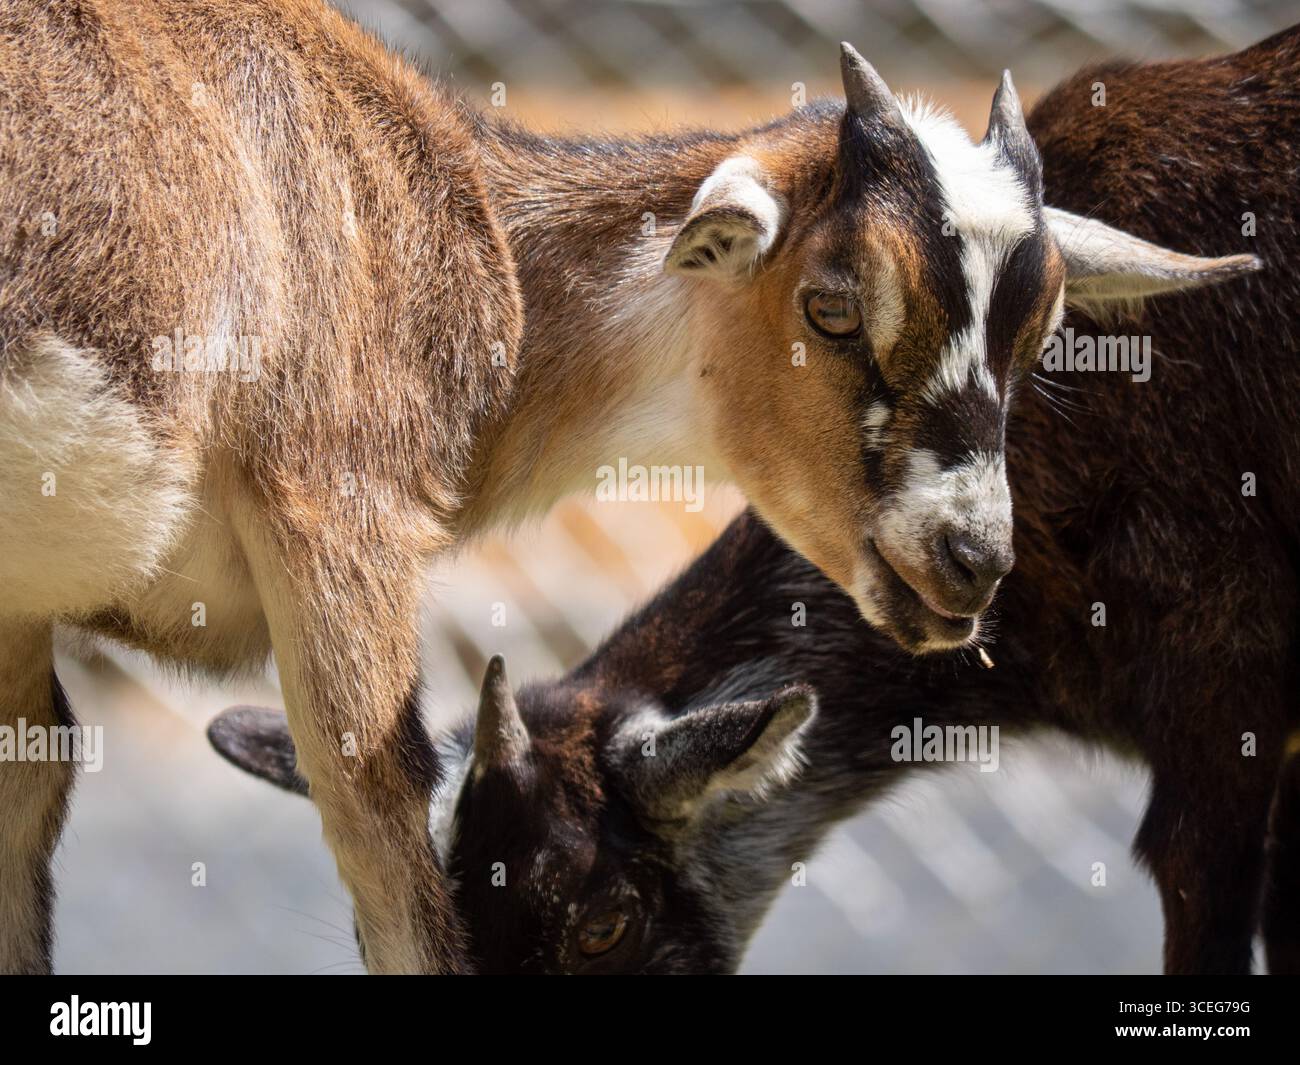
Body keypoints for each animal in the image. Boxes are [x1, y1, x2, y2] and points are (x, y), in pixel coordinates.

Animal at [0, 0, 1255, 973]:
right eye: (830, 306)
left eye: (1041, 333)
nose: (970, 558)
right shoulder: (337, 516)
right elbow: (398, 881)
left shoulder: (23, 609)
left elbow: (28, 796)